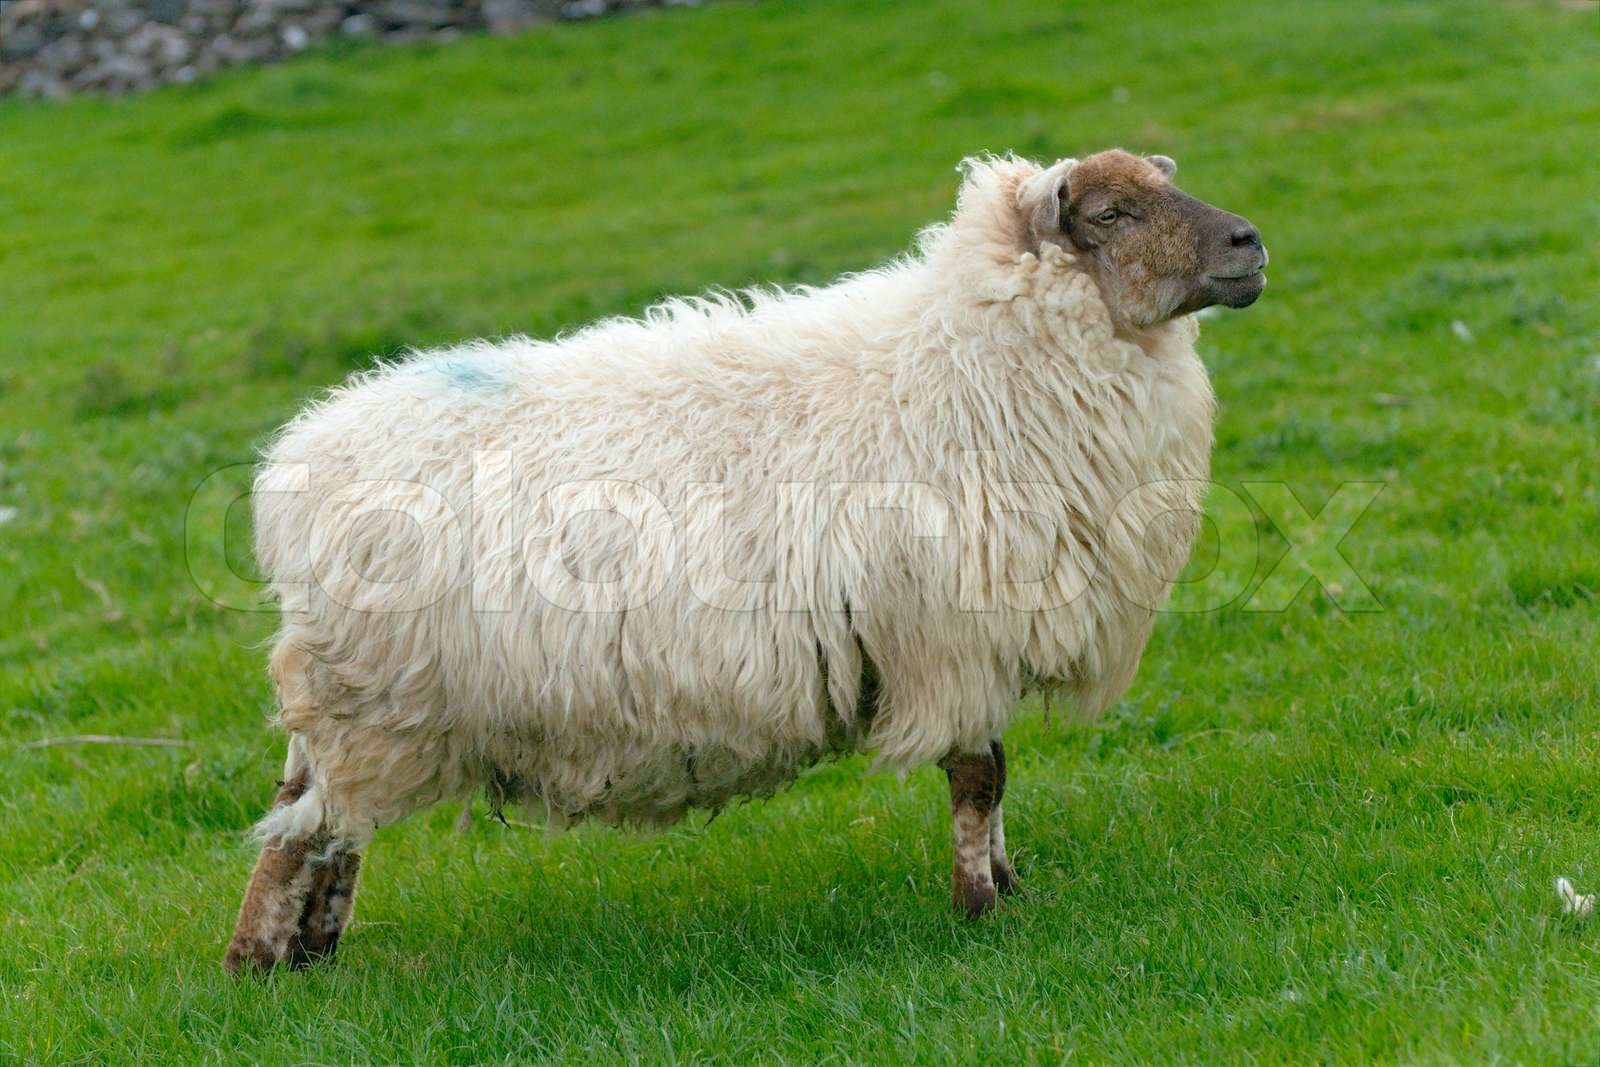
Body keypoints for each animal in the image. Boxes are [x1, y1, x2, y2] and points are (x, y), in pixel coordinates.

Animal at [224, 149, 1268, 972]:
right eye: (1111, 212)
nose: (1249, 244)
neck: (964, 363)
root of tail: (297, 460)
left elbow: (995, 773)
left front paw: (1010, 888)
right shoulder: (945, 635)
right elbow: (979, 778)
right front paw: (980, 908)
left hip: (357, 695)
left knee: (315, 816)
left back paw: (309, 952)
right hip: (373, 696)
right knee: (311, 825)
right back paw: (262, 963)